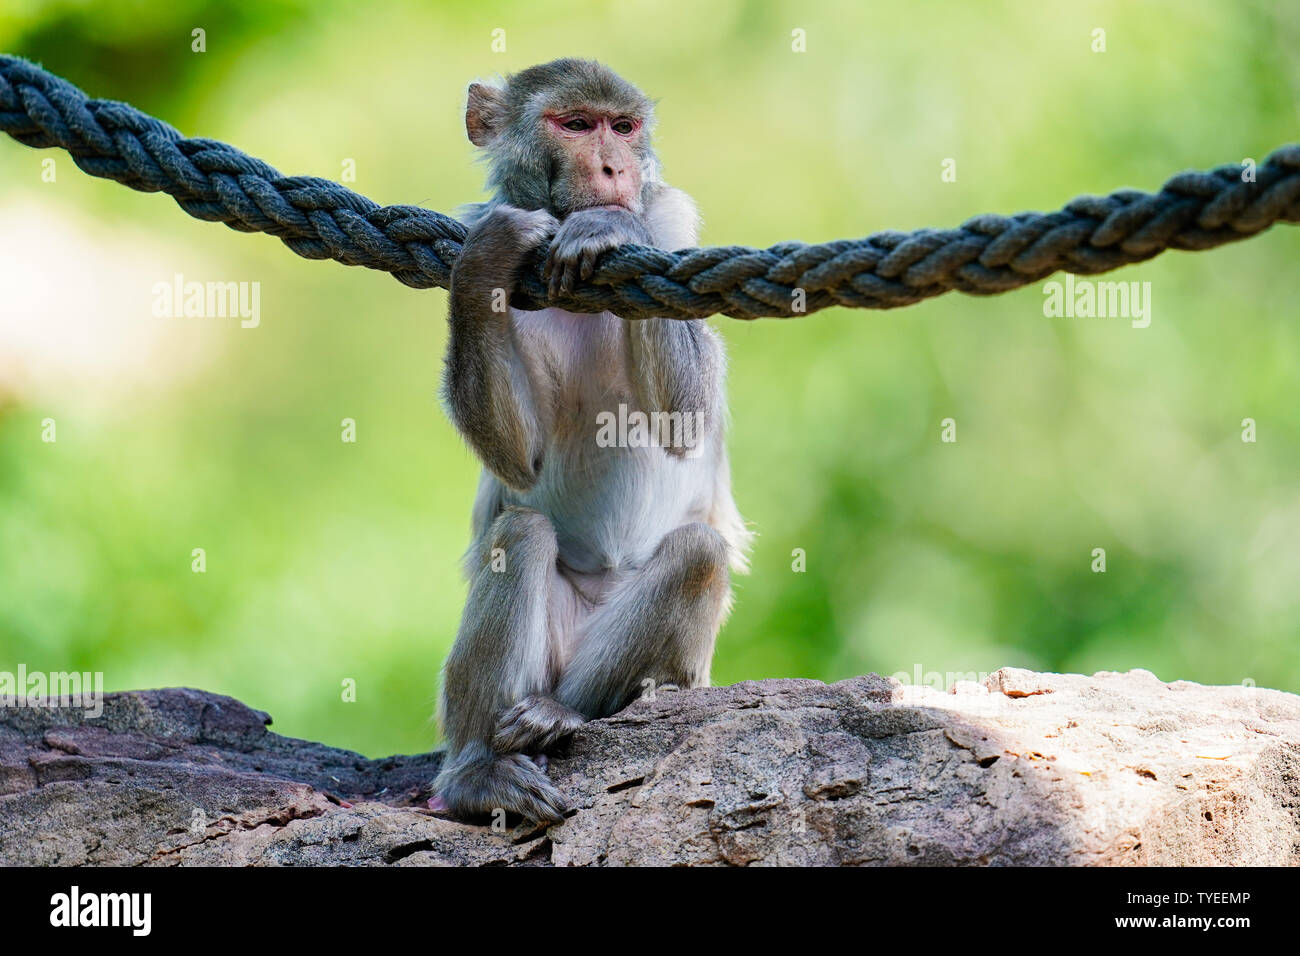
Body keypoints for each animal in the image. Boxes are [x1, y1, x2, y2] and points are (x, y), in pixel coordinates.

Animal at [431, 58, 751, 824]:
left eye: (623, 127)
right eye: (576, 125)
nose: (614, 168)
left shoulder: (673, 223)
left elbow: (687, 418)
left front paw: (610, 221)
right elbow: (519, 459)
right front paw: (485, 263)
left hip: (674, 671)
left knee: (697, 555)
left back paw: (567, 715)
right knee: (521, 534)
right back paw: (478, 772)